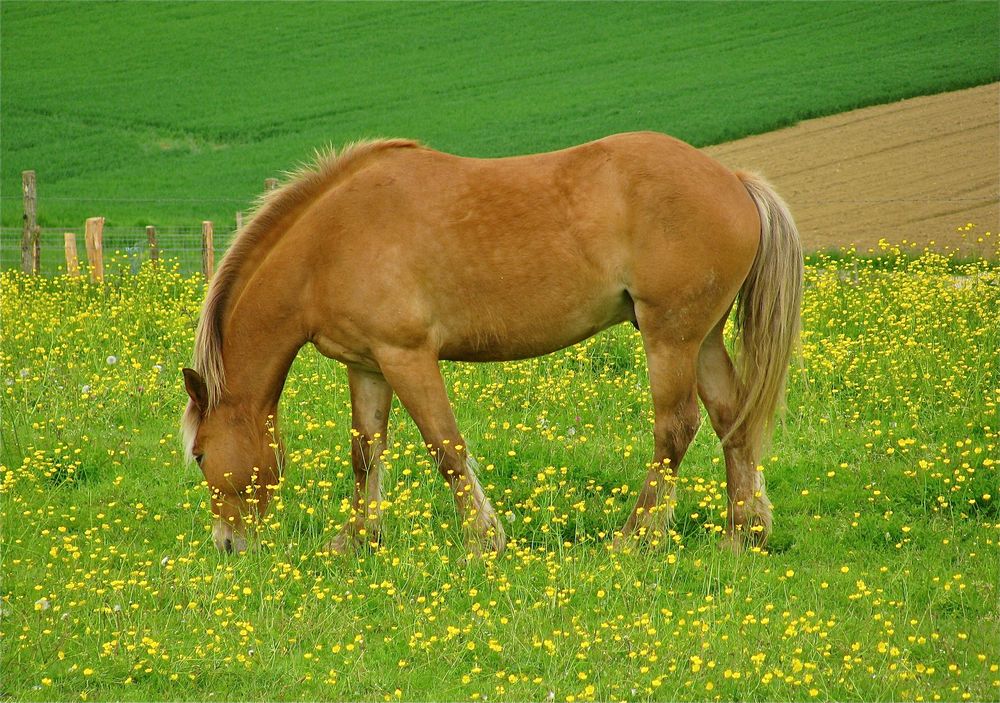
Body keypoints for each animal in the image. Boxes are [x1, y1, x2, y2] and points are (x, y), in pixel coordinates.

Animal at [181, 132, 802, 555]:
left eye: (201, 454)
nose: (227, 544)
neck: (330, 242)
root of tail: (734, 180)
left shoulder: (408, 357)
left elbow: (446, 448)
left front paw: (483, 539)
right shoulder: (369, 365)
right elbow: (366, 453)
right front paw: (356, 539)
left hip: (669, 337)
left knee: (675, 429)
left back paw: (634, 536)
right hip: (703, 338)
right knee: (732, 420)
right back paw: (742, 534)